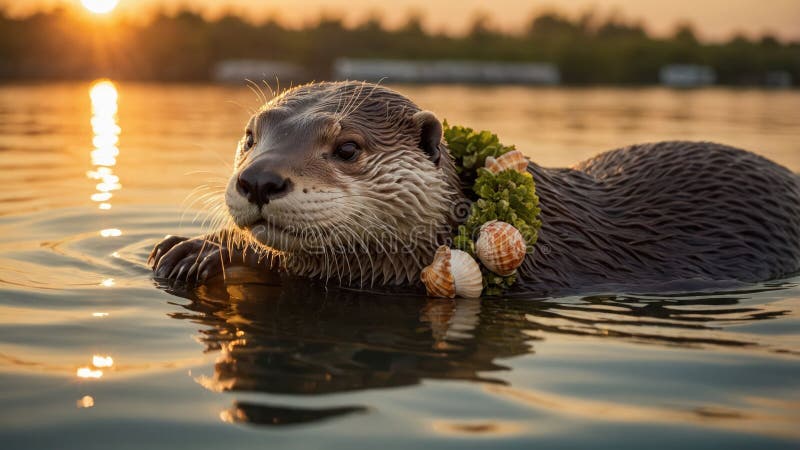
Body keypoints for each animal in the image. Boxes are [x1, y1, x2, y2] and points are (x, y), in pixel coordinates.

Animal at [149, 81, 800, 295]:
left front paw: (213, 250)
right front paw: (193, 247)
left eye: (349, 148)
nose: (259, 178)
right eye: (250, 135)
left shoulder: (396, 271)